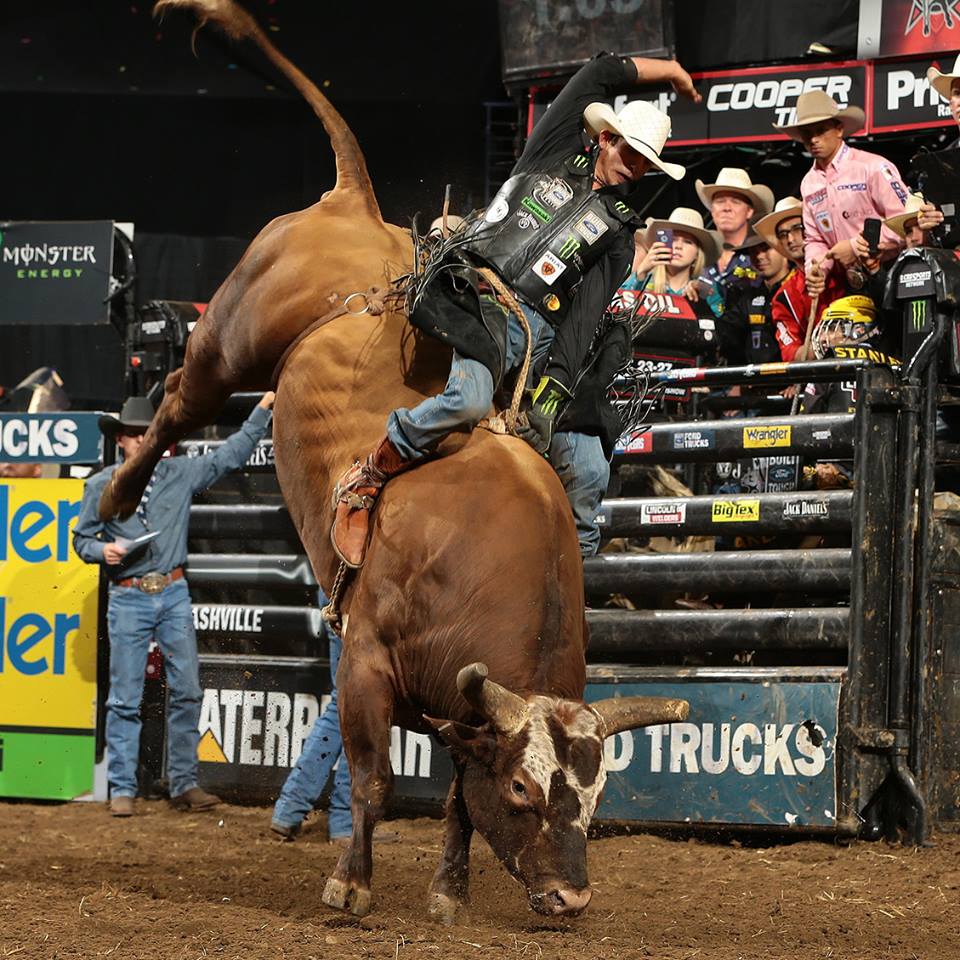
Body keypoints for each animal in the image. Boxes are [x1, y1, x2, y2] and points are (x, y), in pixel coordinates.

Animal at [102, 0, 689, 921]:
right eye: (525, 792)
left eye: (593, 800)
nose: (569, 898)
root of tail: (354, 206)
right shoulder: (367, 665)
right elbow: (374, 781)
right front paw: (350, 884)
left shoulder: (462, 711)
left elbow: (453, 800)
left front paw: (448, 892)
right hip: (230, 334)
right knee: (174, 407)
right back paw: (113, 501)